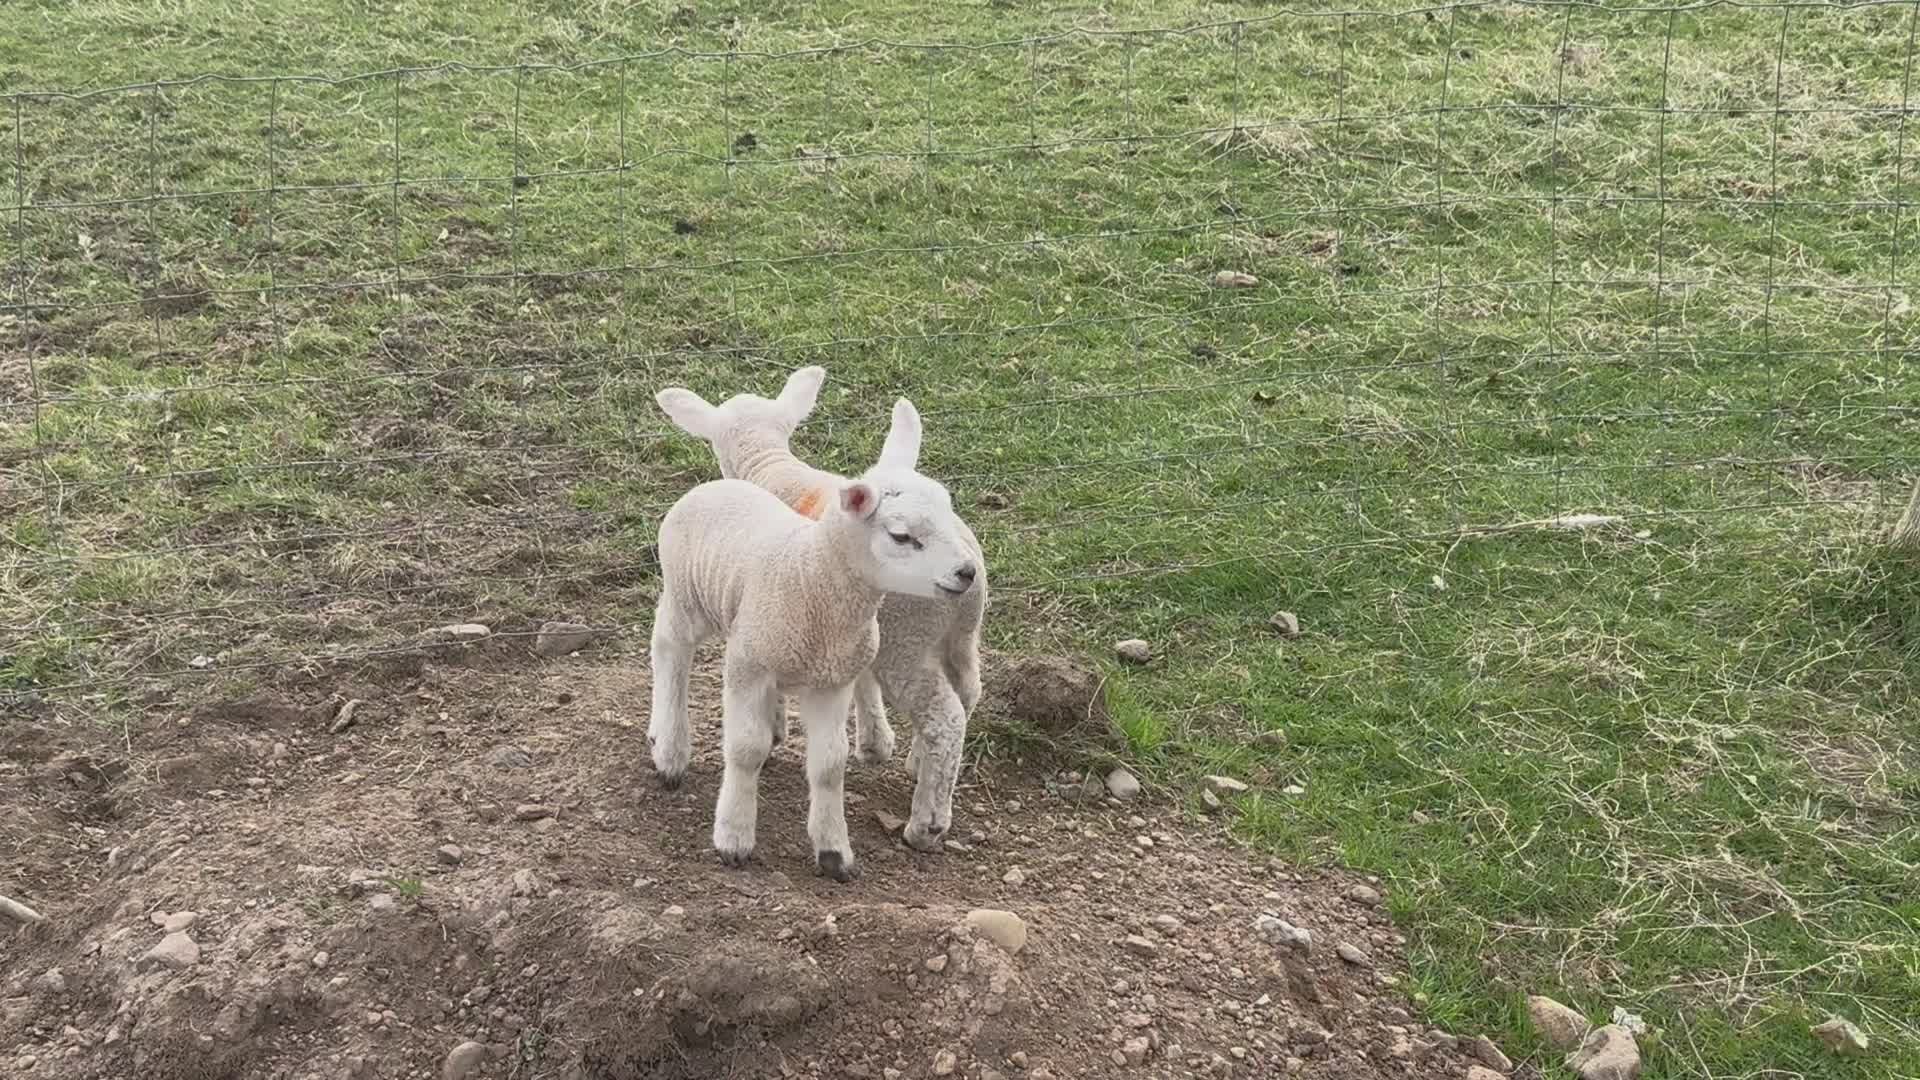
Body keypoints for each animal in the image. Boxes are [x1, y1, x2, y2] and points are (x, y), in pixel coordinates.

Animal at [646, 396, 981, 881]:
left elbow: (819, 752)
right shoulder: (781, 652)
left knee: (947, 715)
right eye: (902, 535)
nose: (962, 571)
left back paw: (927, 821)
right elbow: (761, 741)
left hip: (907, 643)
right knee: (968, 694)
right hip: (957, 639)